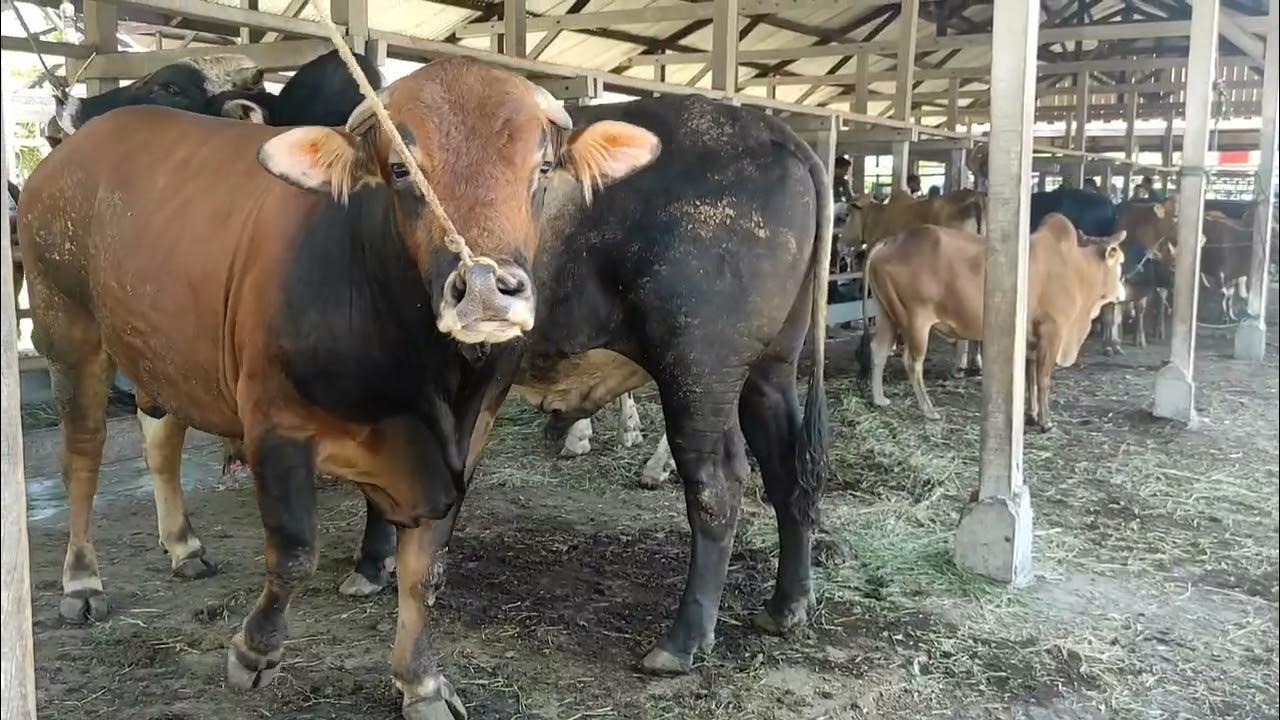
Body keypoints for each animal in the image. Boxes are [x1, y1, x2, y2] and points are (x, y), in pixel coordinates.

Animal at [18, 58, 658, 718]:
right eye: (401, 168)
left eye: (544, 167)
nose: (485, 289)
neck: (425, 381)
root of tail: (70, 152)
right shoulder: (275, 425)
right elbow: (295, 552)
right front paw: (255, 651)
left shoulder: (465, 443)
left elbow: (425, 570)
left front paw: (421, 682)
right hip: (68, 329)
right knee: (82, 457)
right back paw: (82, 580)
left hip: (158, 350)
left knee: (160, 442)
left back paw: (184, 548)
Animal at [344, 94, 833, 678]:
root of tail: (775, 131)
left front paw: (376, 566)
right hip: (771, 368)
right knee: (788, 475)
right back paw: (787, 605)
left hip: (698, 370)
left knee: (717, 484)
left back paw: (683, 639)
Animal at [858, 214, 1126, 431]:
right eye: (1120, 263)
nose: (1123, 293)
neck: (1076, 269)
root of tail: (893, 240)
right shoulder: (1052, 332)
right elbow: (1042, 379)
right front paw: (1045, 422)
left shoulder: (1031, 340)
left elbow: (1029, 378)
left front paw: (1031, 414)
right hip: (915, 321)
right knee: (912, 362)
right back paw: (929, 410)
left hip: (887, 315)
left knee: (878, 351)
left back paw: (879, 399)